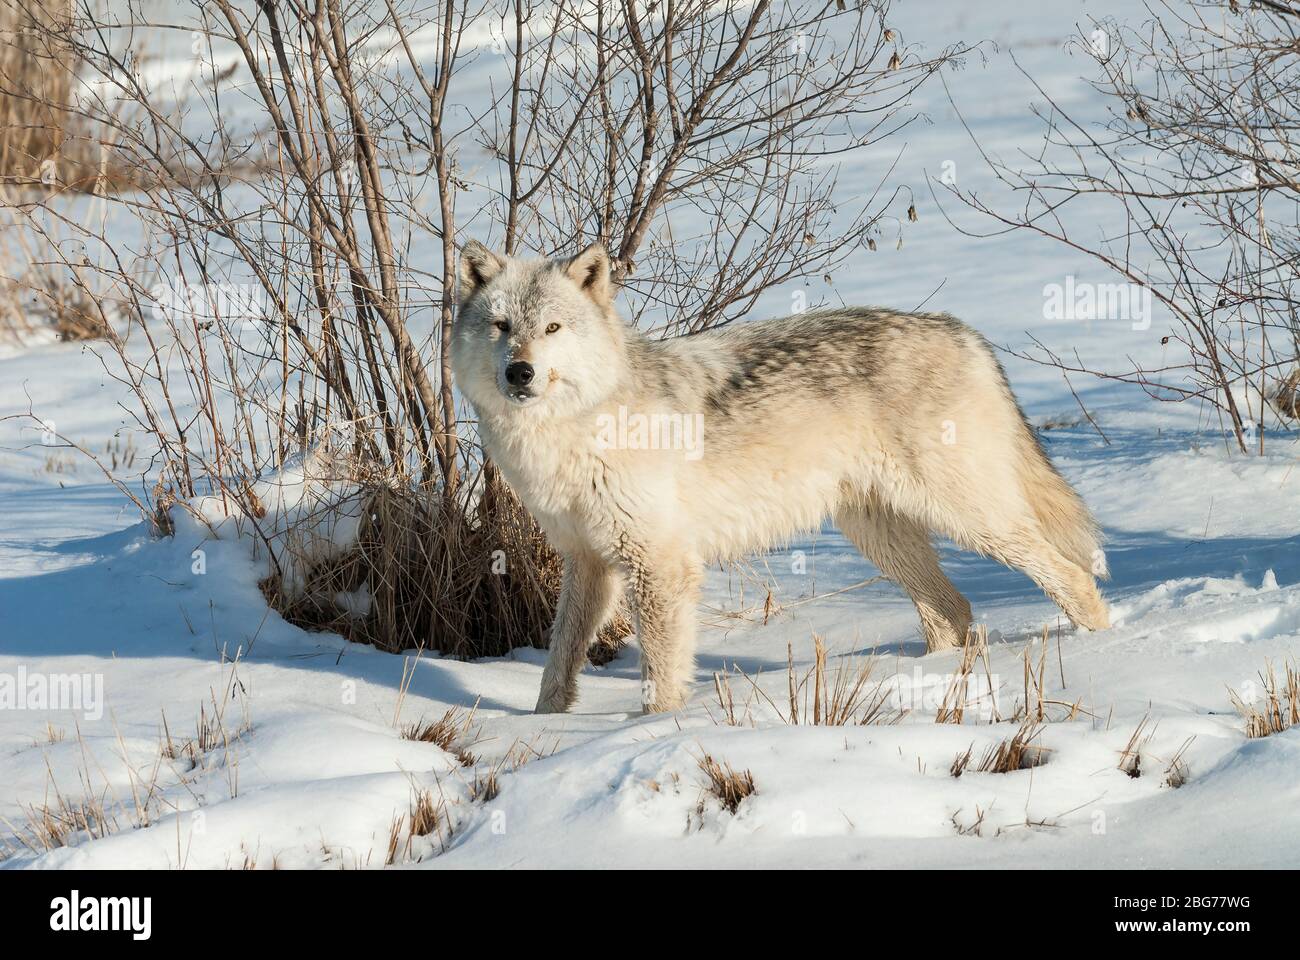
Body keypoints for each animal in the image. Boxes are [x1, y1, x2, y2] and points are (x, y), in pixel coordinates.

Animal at [452, 241, 1110, 714]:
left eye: (553, 329)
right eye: (502, 326)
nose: (520, 372)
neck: (571, 432)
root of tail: (964, 331)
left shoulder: (658, 564)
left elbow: (661, 672)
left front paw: (651, 728)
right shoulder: (588, 560)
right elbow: (558, 663)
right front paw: (545, 731)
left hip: (969, 519)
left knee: (1071, 574)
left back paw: (1100, 646)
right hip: (881, 535)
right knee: (953, 609)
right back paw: (930, 677)